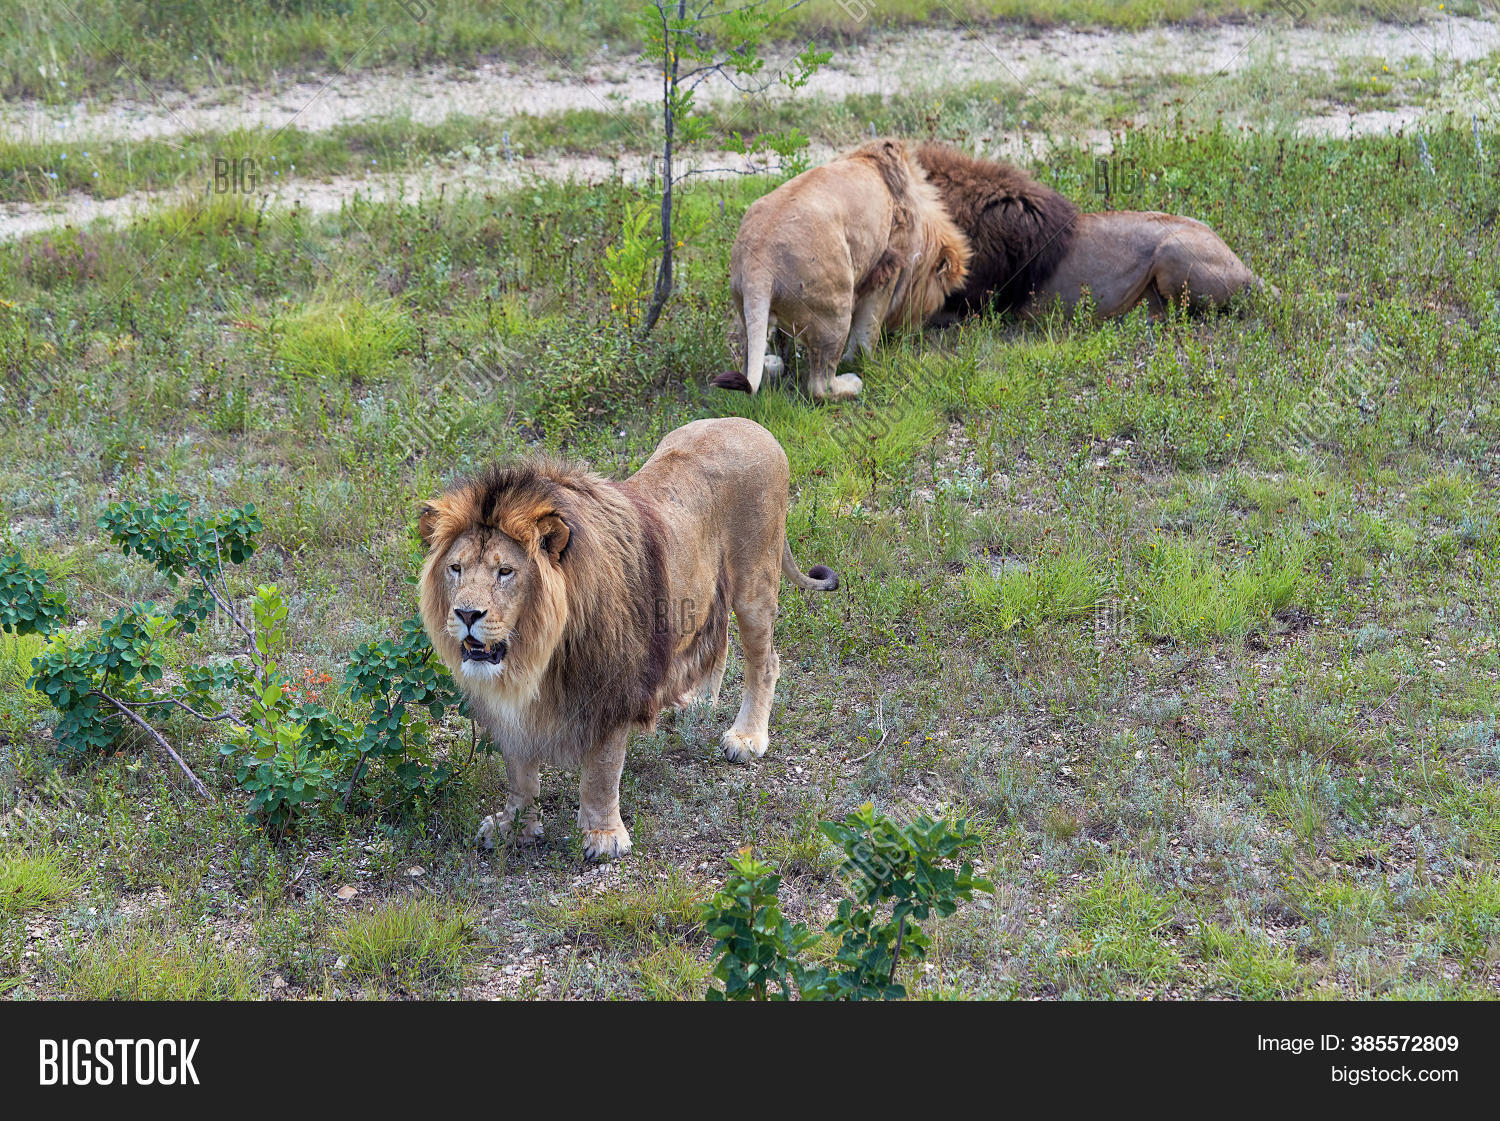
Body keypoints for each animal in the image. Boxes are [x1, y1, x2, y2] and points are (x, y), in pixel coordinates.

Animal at [417, 417, 838, 862]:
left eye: (505, 572)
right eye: (456, 568)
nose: (466, 614)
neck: (536, 653)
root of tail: (754, 424)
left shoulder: (614, 689)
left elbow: (600, 773)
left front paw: (603, 837)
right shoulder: (513, 709)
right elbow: (520, 774)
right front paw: (514, 828)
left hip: (755, 584)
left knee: (765, 661)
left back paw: (747, 737)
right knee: (718, 637)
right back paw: (697, 704)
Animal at [712, 138, 970, 402]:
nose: (917, 328)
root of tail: (759, 261)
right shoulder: (888, 267)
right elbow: (867, 332)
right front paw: (860, 361)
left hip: (744, 307)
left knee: (748, 361)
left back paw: (773, 364)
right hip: (834, 311)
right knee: (819, 386)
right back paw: (851, 383)